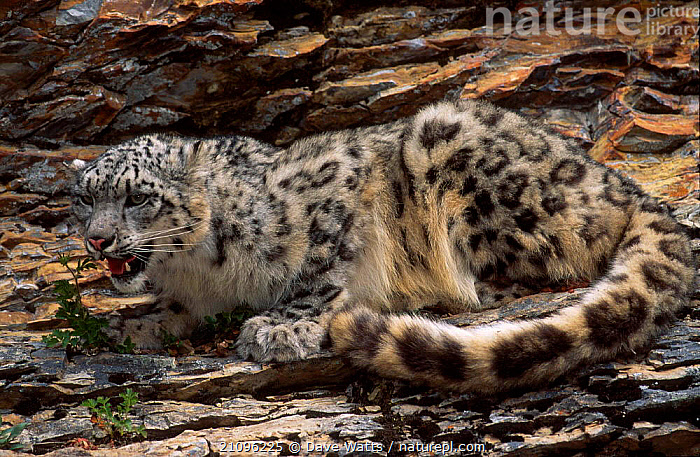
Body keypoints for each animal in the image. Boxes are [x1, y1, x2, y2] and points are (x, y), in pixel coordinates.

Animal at [72, 99, 695, 393]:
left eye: (137, 197)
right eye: (83, 199)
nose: (98, 238)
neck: (197, 270)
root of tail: (625, 184)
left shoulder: (328, 192)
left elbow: (320, 266)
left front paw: (279, 328)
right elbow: (173, 310)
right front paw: (136, 325)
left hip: (455, 149)